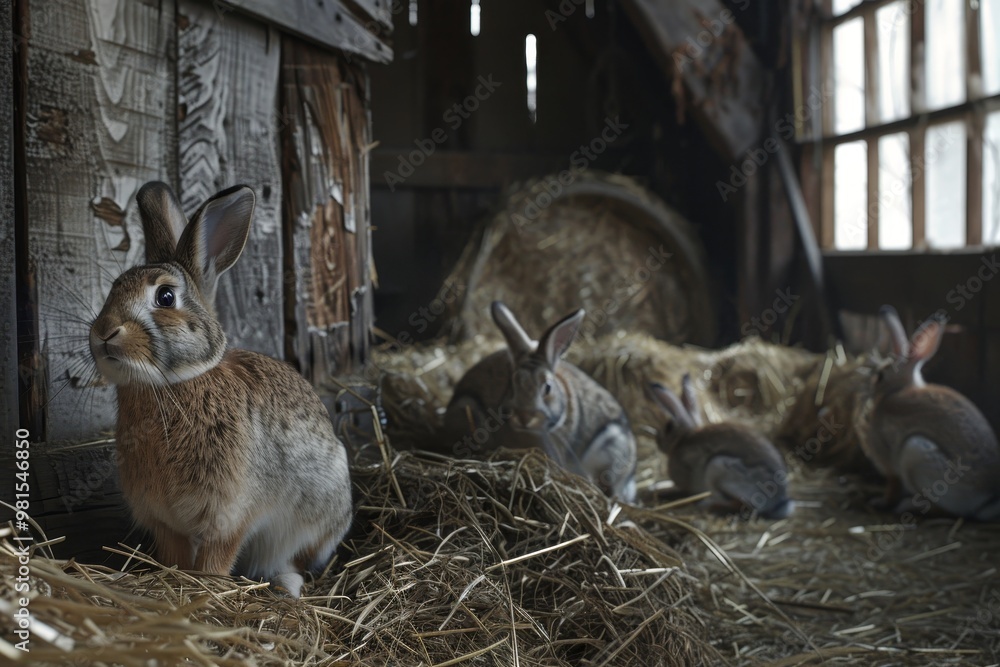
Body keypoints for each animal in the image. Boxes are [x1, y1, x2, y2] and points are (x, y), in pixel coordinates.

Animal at [89, 182, 353, 598]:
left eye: (165, 297)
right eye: (113, 289)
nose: (103, 332)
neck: (174, 384)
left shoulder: (229, 514)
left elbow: (217, 557)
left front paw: (207, 588)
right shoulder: (165, 521)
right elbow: (176, 555)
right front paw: (176, 578)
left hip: (314, 523)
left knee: (294, 561)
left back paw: (288, 586)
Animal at [649, 374, 793, 519]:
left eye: (668, 427)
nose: (657, 441)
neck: (683, 438)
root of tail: (776, 502)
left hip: (718, 467)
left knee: (739, 505)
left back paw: (707, 505)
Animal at [857, 305, 1000, 520]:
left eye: (880, 376)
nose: (869, 387)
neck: (897, 389)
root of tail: (985, 498)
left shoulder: (889, 464)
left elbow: (892, 486)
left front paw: (880, 502)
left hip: (916, 454)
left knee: (944, 510)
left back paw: (906, 507)